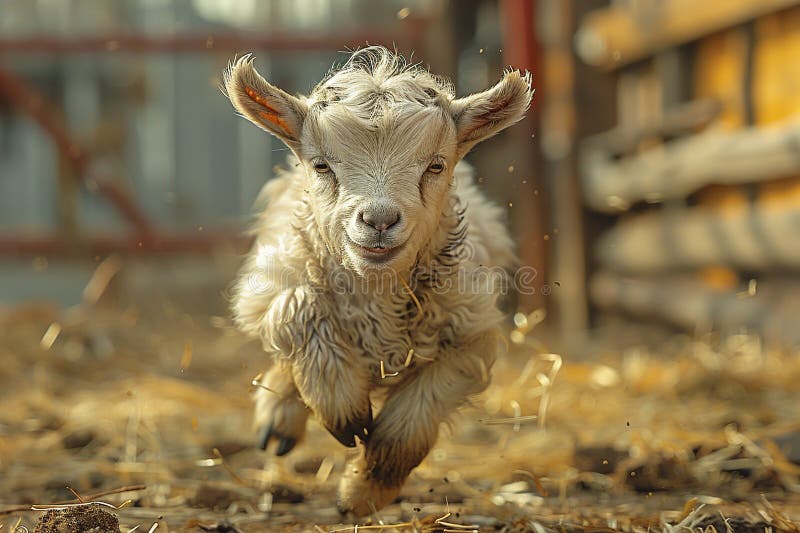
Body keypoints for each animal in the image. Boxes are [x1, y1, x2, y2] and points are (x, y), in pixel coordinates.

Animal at [223, 46, 531, 516]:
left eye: (435, 165)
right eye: (321, 165)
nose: (379, 220)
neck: (375, 289)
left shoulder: (469, 338)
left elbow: (404, 434)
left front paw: (360, 495)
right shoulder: (273, 284)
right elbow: (300, 312)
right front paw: (343, 410)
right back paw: (280, 417)